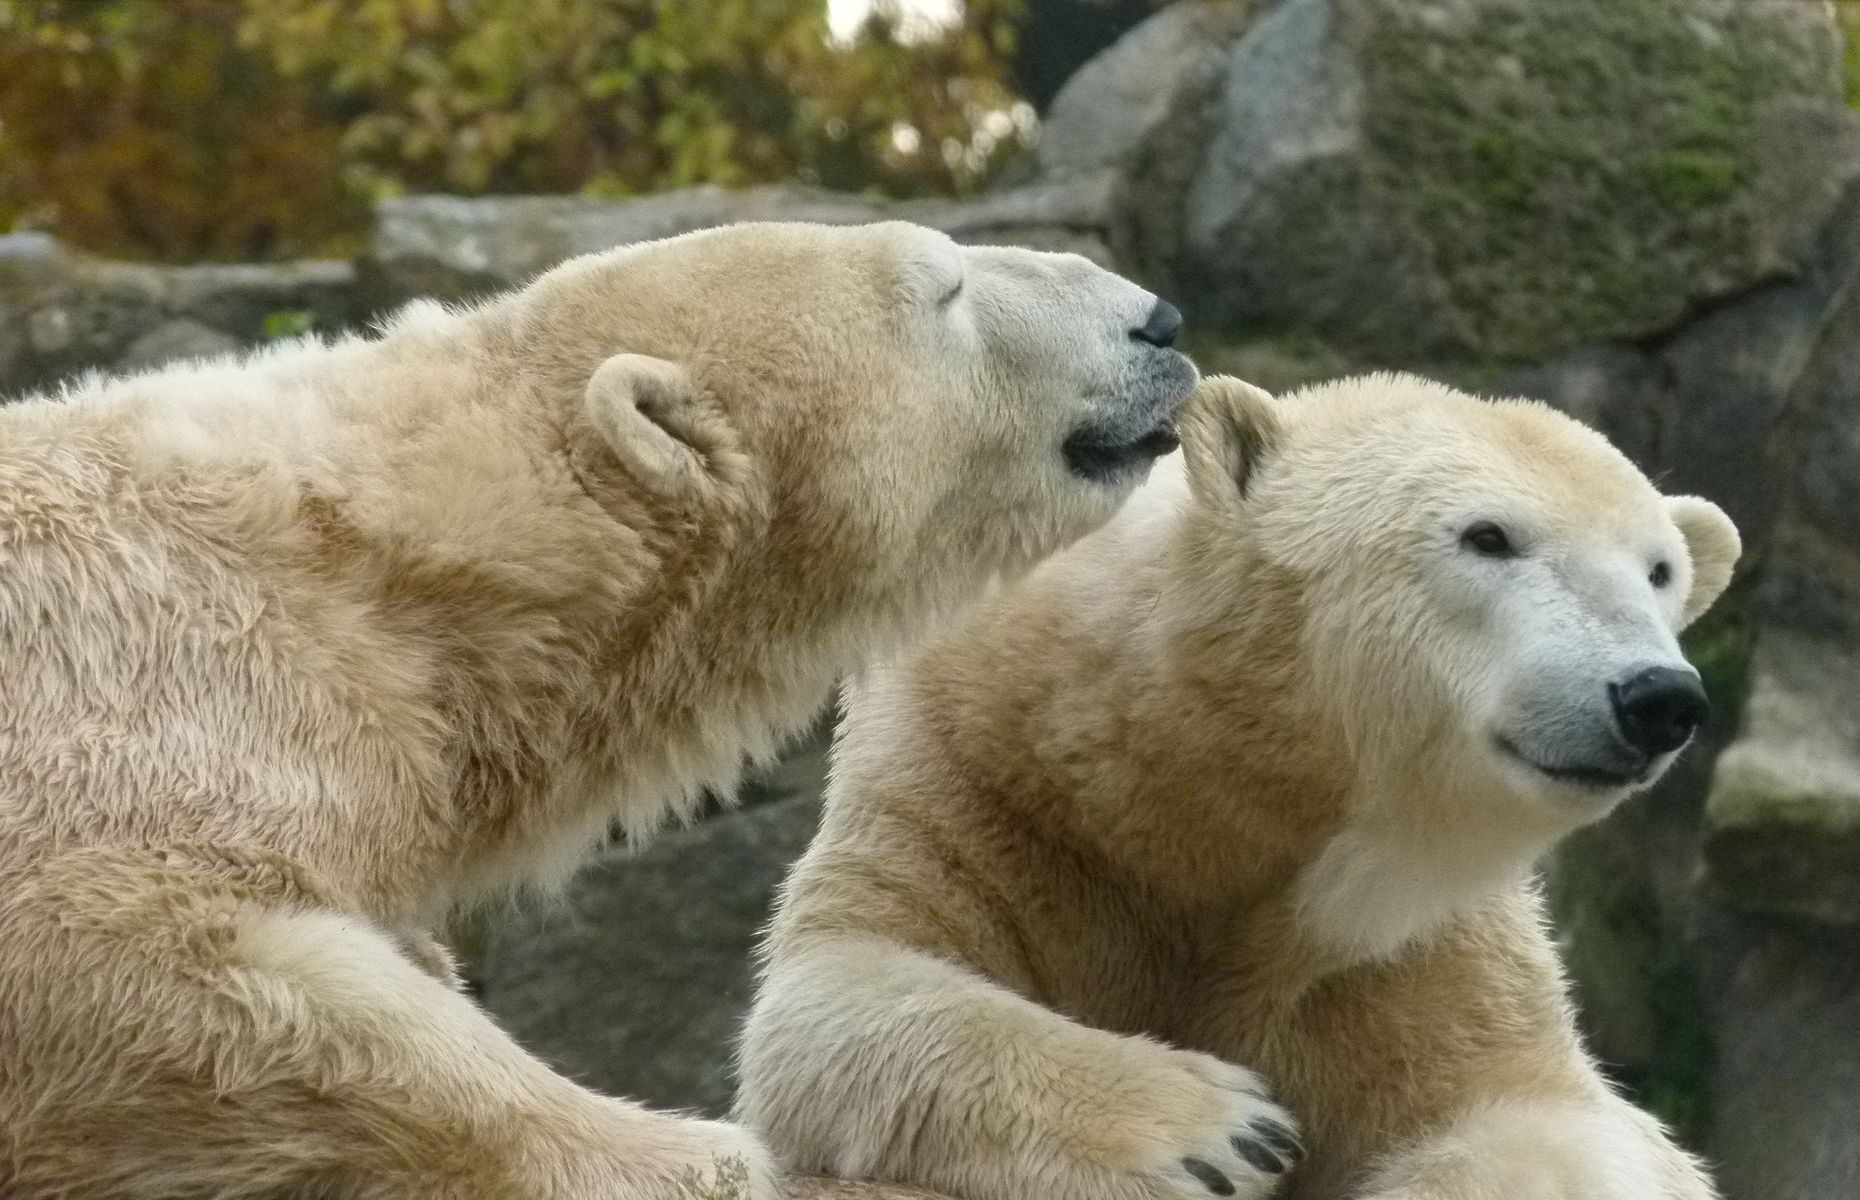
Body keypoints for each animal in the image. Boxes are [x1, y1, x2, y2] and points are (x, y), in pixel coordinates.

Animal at [736, 373, 1742, 1200]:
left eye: (1662, 570)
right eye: (1487, 536)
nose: (1657, 696)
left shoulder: (1407, 940)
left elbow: (1534, 1116)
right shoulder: (977, 780)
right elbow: (842, 994)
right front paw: (1227, 1133)